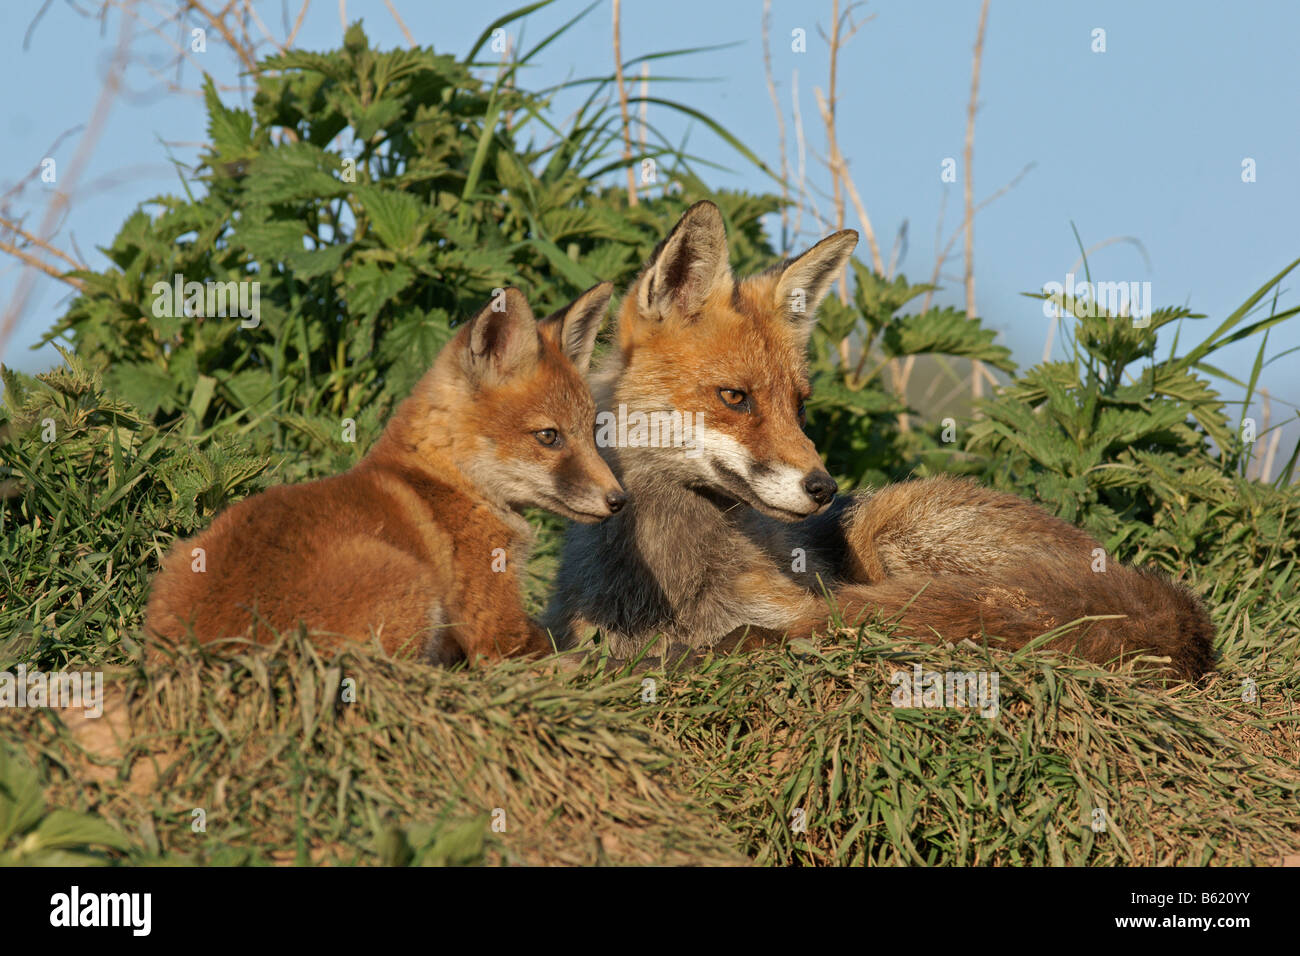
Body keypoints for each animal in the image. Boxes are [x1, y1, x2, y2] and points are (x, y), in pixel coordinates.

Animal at [147, 283, 624, 665]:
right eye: (549, 437)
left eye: (591, 432)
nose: (619, 500)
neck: (450, 480)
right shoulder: (497, 631)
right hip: (412, 589)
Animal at [543, 201, 1211, 681]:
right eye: (735, 398)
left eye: (801, 405)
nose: (823, 488)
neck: (675, 586)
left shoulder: (800, 604)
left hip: (894, 527)